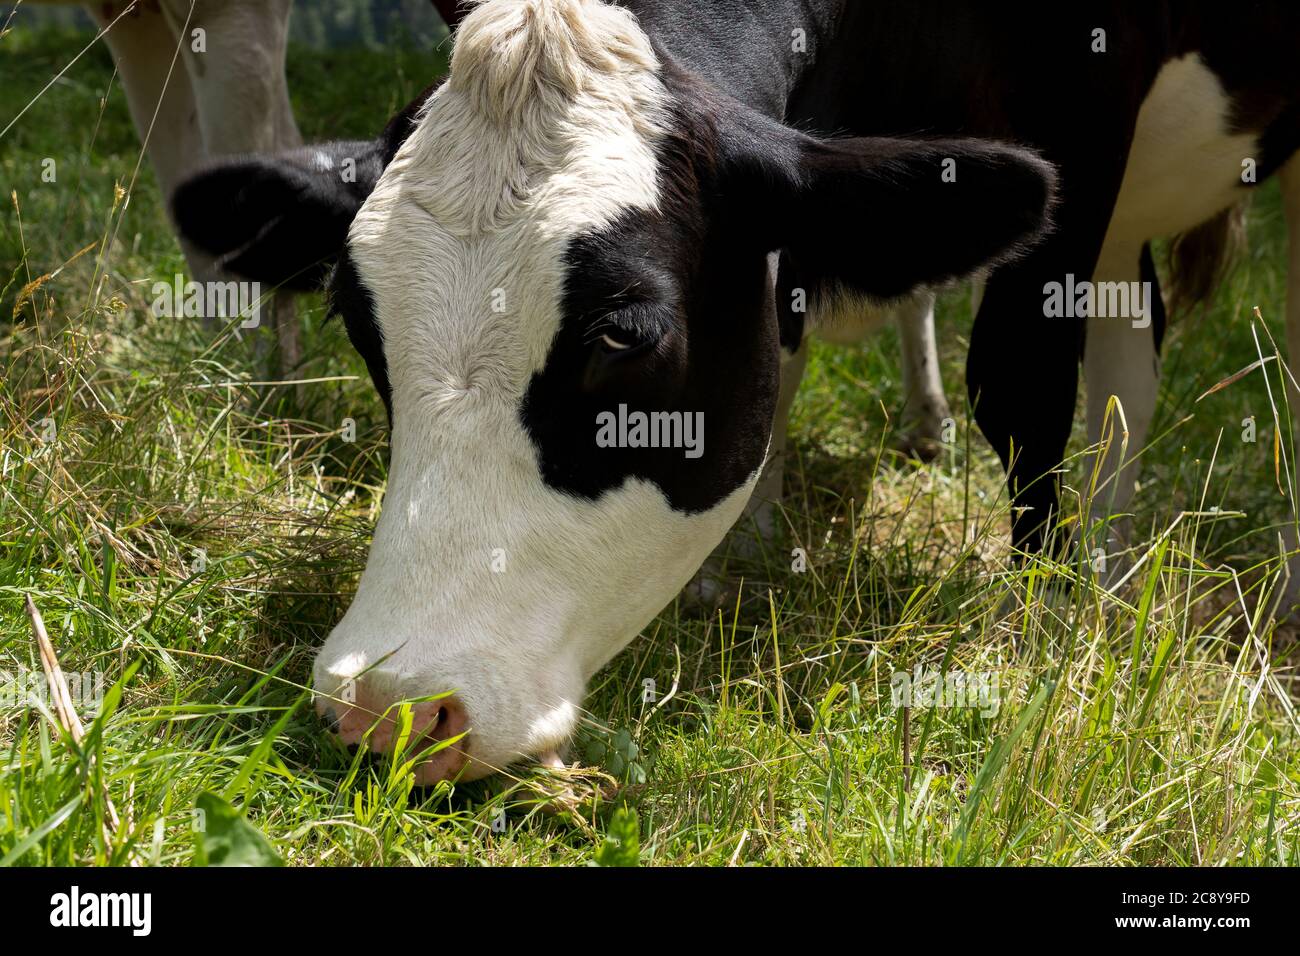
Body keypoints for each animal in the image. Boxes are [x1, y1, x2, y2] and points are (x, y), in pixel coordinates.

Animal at [168, 0, 1300, 785]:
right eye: (361, 324)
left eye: (623, 336)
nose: (388, 705)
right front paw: (750, 544)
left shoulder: (1082, 125)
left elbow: (1022, 391)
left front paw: (1045, 628)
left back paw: (1114, 574)